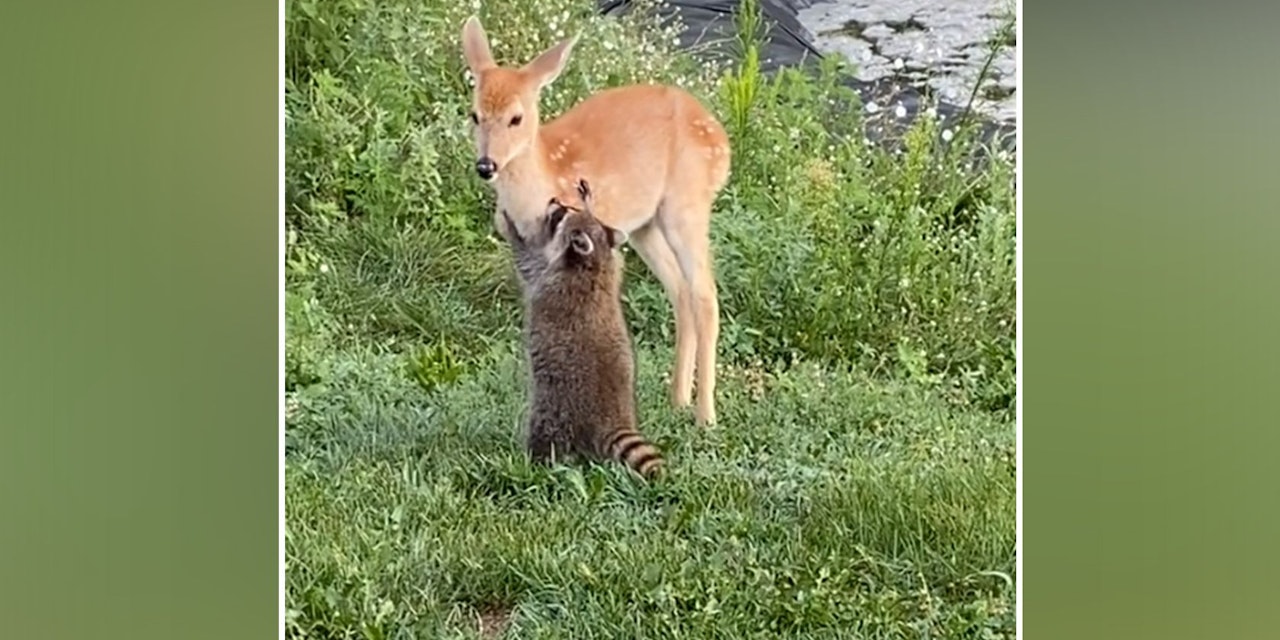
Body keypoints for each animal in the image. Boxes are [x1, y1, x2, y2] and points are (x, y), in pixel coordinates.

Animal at [460, 16, 731, 426]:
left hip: (686, 205)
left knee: (706, 295)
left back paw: (705, 417)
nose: (486, 165)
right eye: (475, 115)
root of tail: (723, 142)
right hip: (645, 225)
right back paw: (678, 400)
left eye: (516, 118)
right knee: (681, 291)